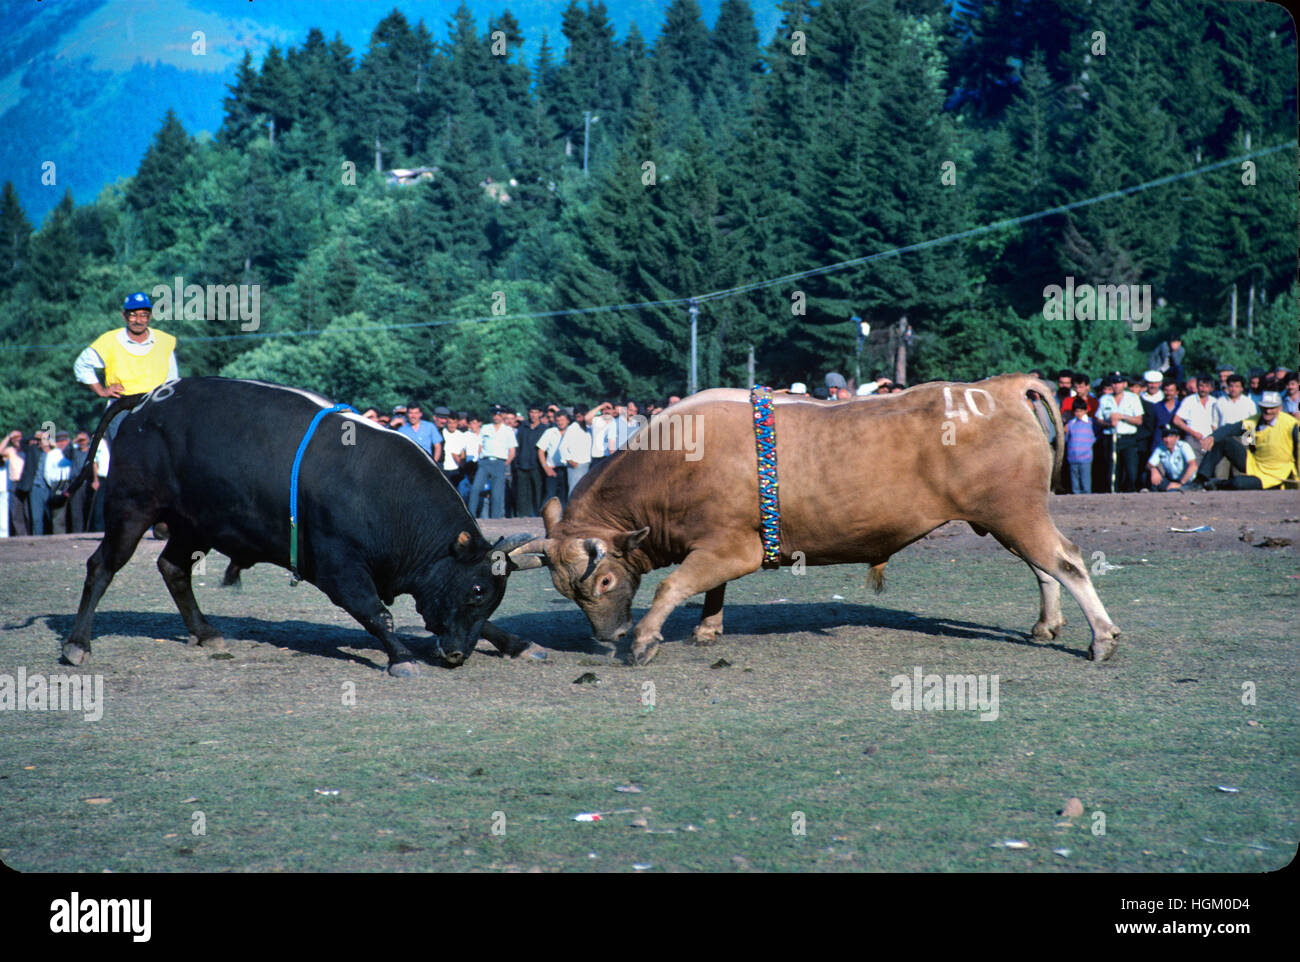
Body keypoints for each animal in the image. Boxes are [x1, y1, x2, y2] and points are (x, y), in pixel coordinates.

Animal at [55, 377, 543, 675]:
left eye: (489, 593)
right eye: (476, 590)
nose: (457, 654)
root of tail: (145, 399)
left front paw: (516, 642)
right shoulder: (338, 567)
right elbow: (375, 611)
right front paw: (401, 657)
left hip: (194, 525)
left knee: (173, 568)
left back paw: (206, 633)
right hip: (130, 508)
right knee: (102, 566)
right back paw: (78, 643)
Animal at [513, 375, 1121, 665]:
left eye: (605, 581)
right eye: (565, 590)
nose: (606, 636)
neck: (675, 462)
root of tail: (1002, 386)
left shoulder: (732, 548)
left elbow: (674, 585)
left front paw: (642, 641)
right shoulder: (718, 547)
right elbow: (709, 589)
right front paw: (707, 628)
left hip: (1013, 512)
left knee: (1066, 562)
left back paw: (1102, 639)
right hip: (1005, 517)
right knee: (1044, 567)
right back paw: (1046, 625)